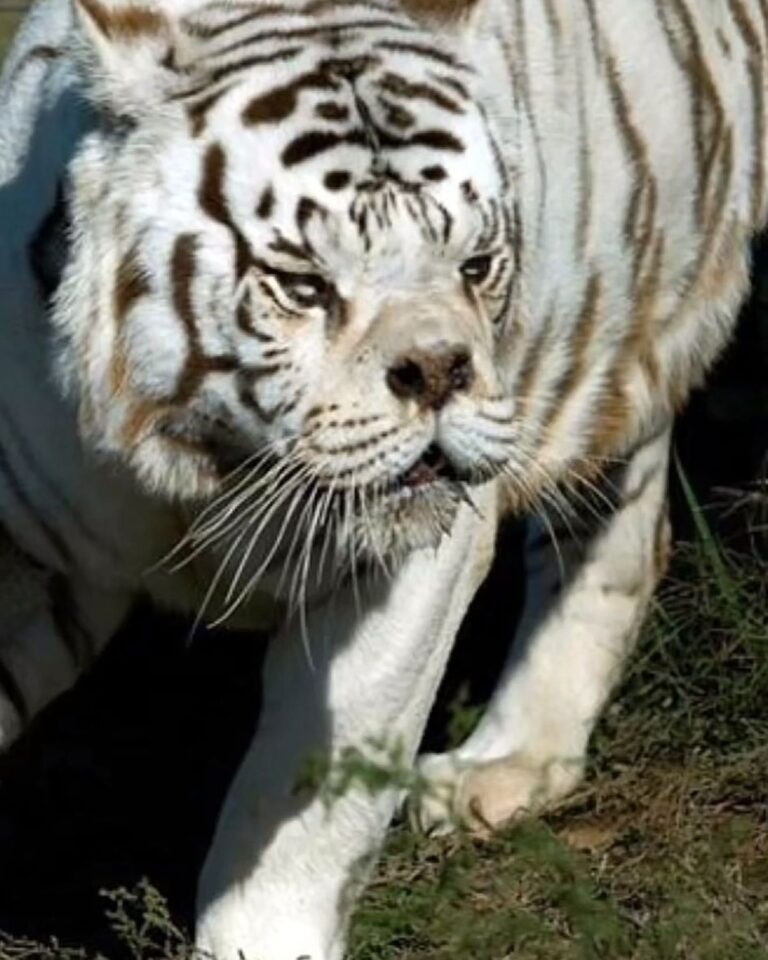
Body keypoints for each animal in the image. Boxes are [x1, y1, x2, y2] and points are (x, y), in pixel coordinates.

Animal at [0, 0, 765, 956]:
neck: (204, 459)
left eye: (475, 265)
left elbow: (307, 802)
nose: (439, 370)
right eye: (303, 285)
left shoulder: (408, 563)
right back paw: (516, 760)